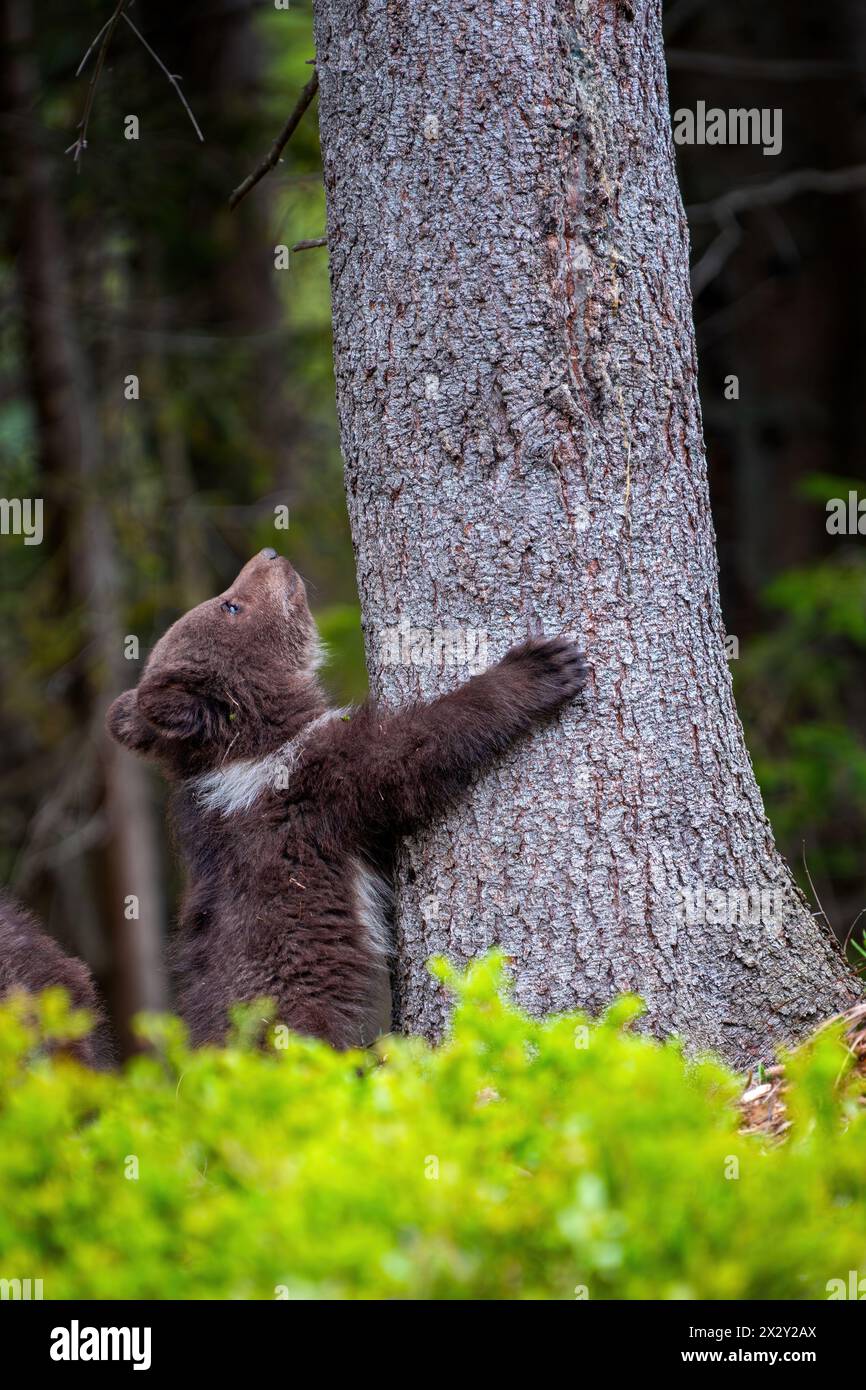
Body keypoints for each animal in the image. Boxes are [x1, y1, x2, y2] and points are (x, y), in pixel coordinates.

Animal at [107, 548, 588, 1049]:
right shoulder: (315, 783)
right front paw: (542, 665)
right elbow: (411, 751)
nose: (269, 554)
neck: (252, 750)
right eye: (230, 606)